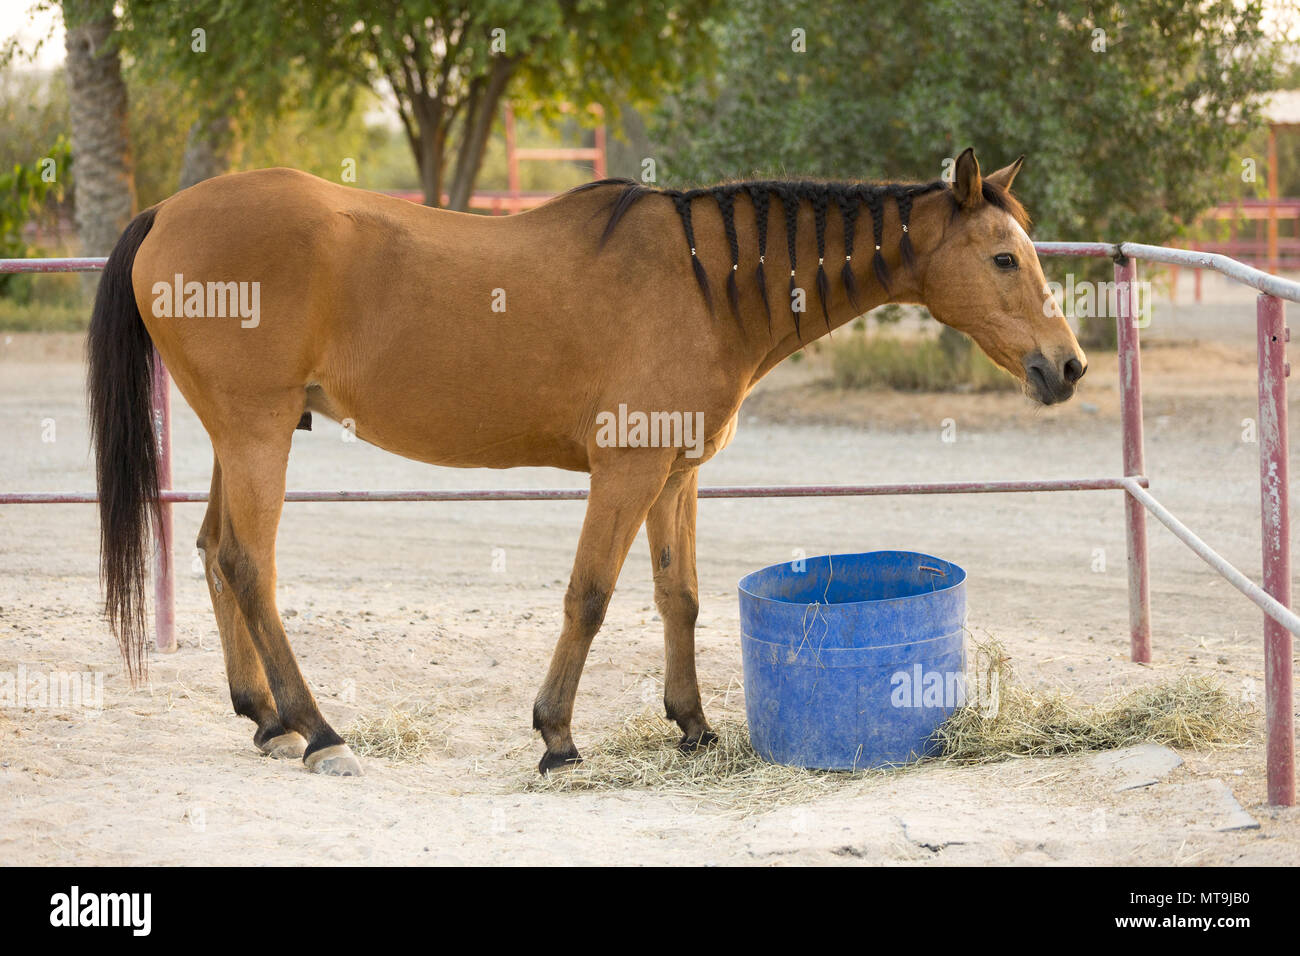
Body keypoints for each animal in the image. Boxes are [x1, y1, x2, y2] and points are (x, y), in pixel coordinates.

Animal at [86, 147, 1086, 776]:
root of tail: (167, 212)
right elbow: (592, 596)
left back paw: (267, 721)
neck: (706, 284)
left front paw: (694, 727)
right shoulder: (626, 473)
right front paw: (557, 737)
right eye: (1004, 258)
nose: (1068, 365)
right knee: (250, 564)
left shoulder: (674, 475)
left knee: (215, 554)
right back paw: (320, 730)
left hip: (243, 435)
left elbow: (678, 597)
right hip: (256, 434)